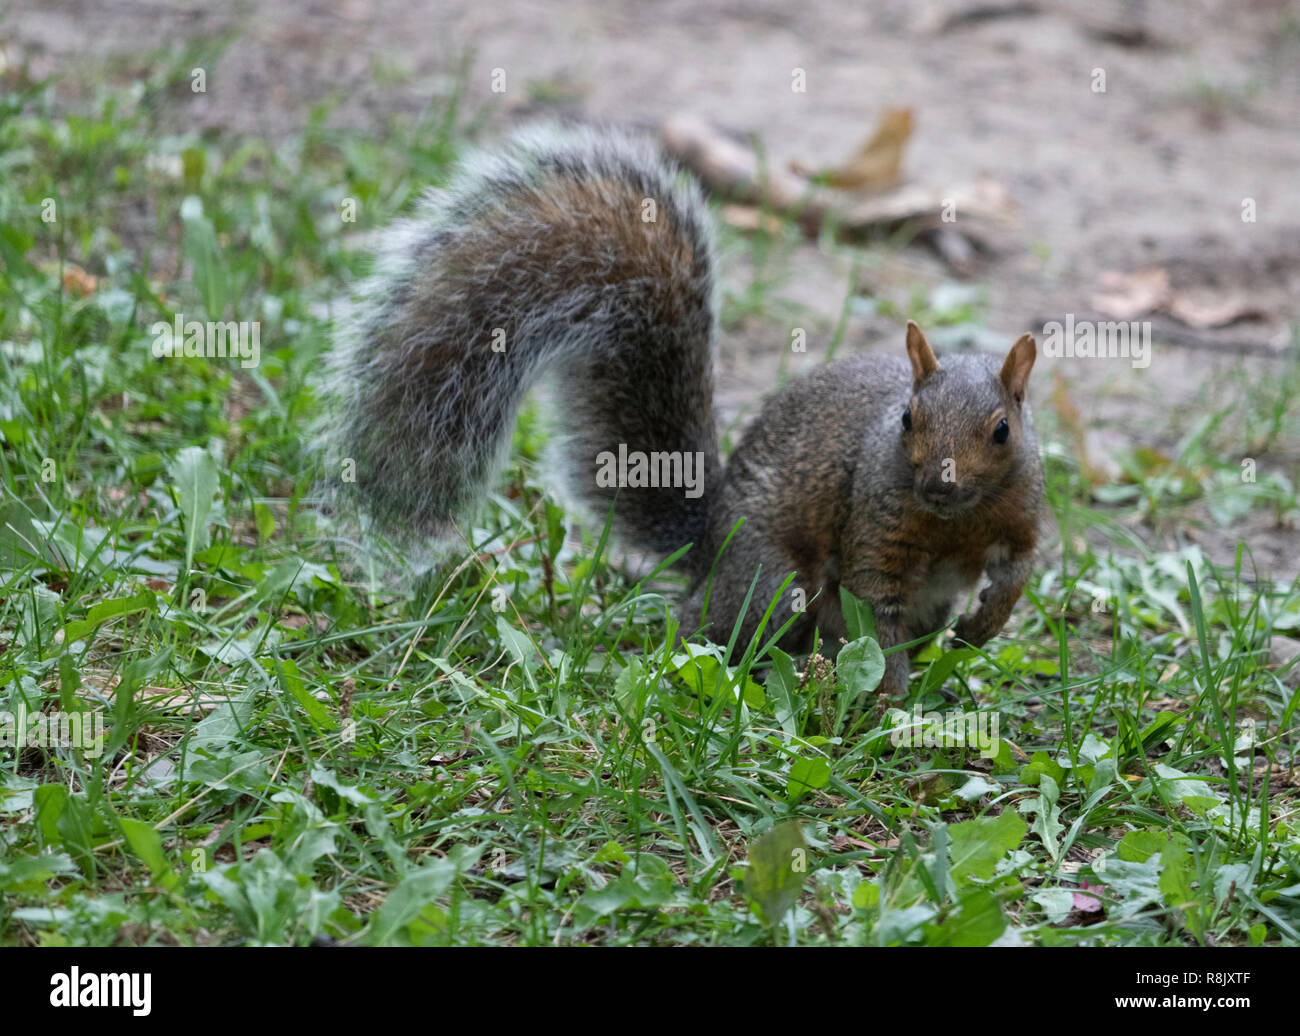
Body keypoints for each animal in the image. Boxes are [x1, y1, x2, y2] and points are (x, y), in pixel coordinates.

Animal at [321, 124, 1046, 705]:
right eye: (906, 422)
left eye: (1002, 431)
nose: (937, 487)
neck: (955, 524)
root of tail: (708, 552)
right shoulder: (875, 522)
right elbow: (877, 605)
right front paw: (890, 695)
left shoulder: (1020, 513)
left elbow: (1019, 569)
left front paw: (985, 623)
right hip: (772, 583)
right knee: (716, 630)